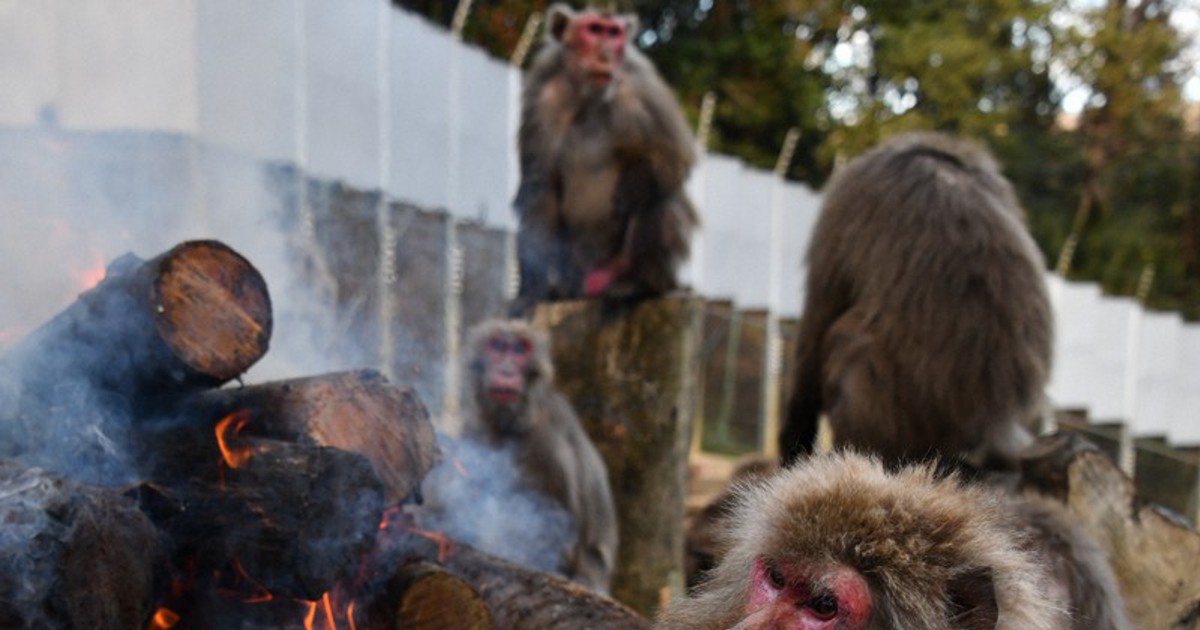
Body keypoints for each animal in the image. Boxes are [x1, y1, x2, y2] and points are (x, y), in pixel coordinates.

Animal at [419, 319, 618, 593]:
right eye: (497, 346)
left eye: (520, 349)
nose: (506, 369)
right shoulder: (475, 427)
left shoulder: (544, 439)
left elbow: (553, 529)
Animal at [511, 3, 699, 313]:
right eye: (594, 30)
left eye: (614, 33)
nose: (607, 53)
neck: (589, 93)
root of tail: (591, 288)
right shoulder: (541, 92)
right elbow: (540, 185)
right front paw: (530, 291)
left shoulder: (642, 83)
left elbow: (676, 155)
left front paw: (635, 181)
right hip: (575, 268)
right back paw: (561, 289)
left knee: (662, 199)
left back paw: (637, 284)